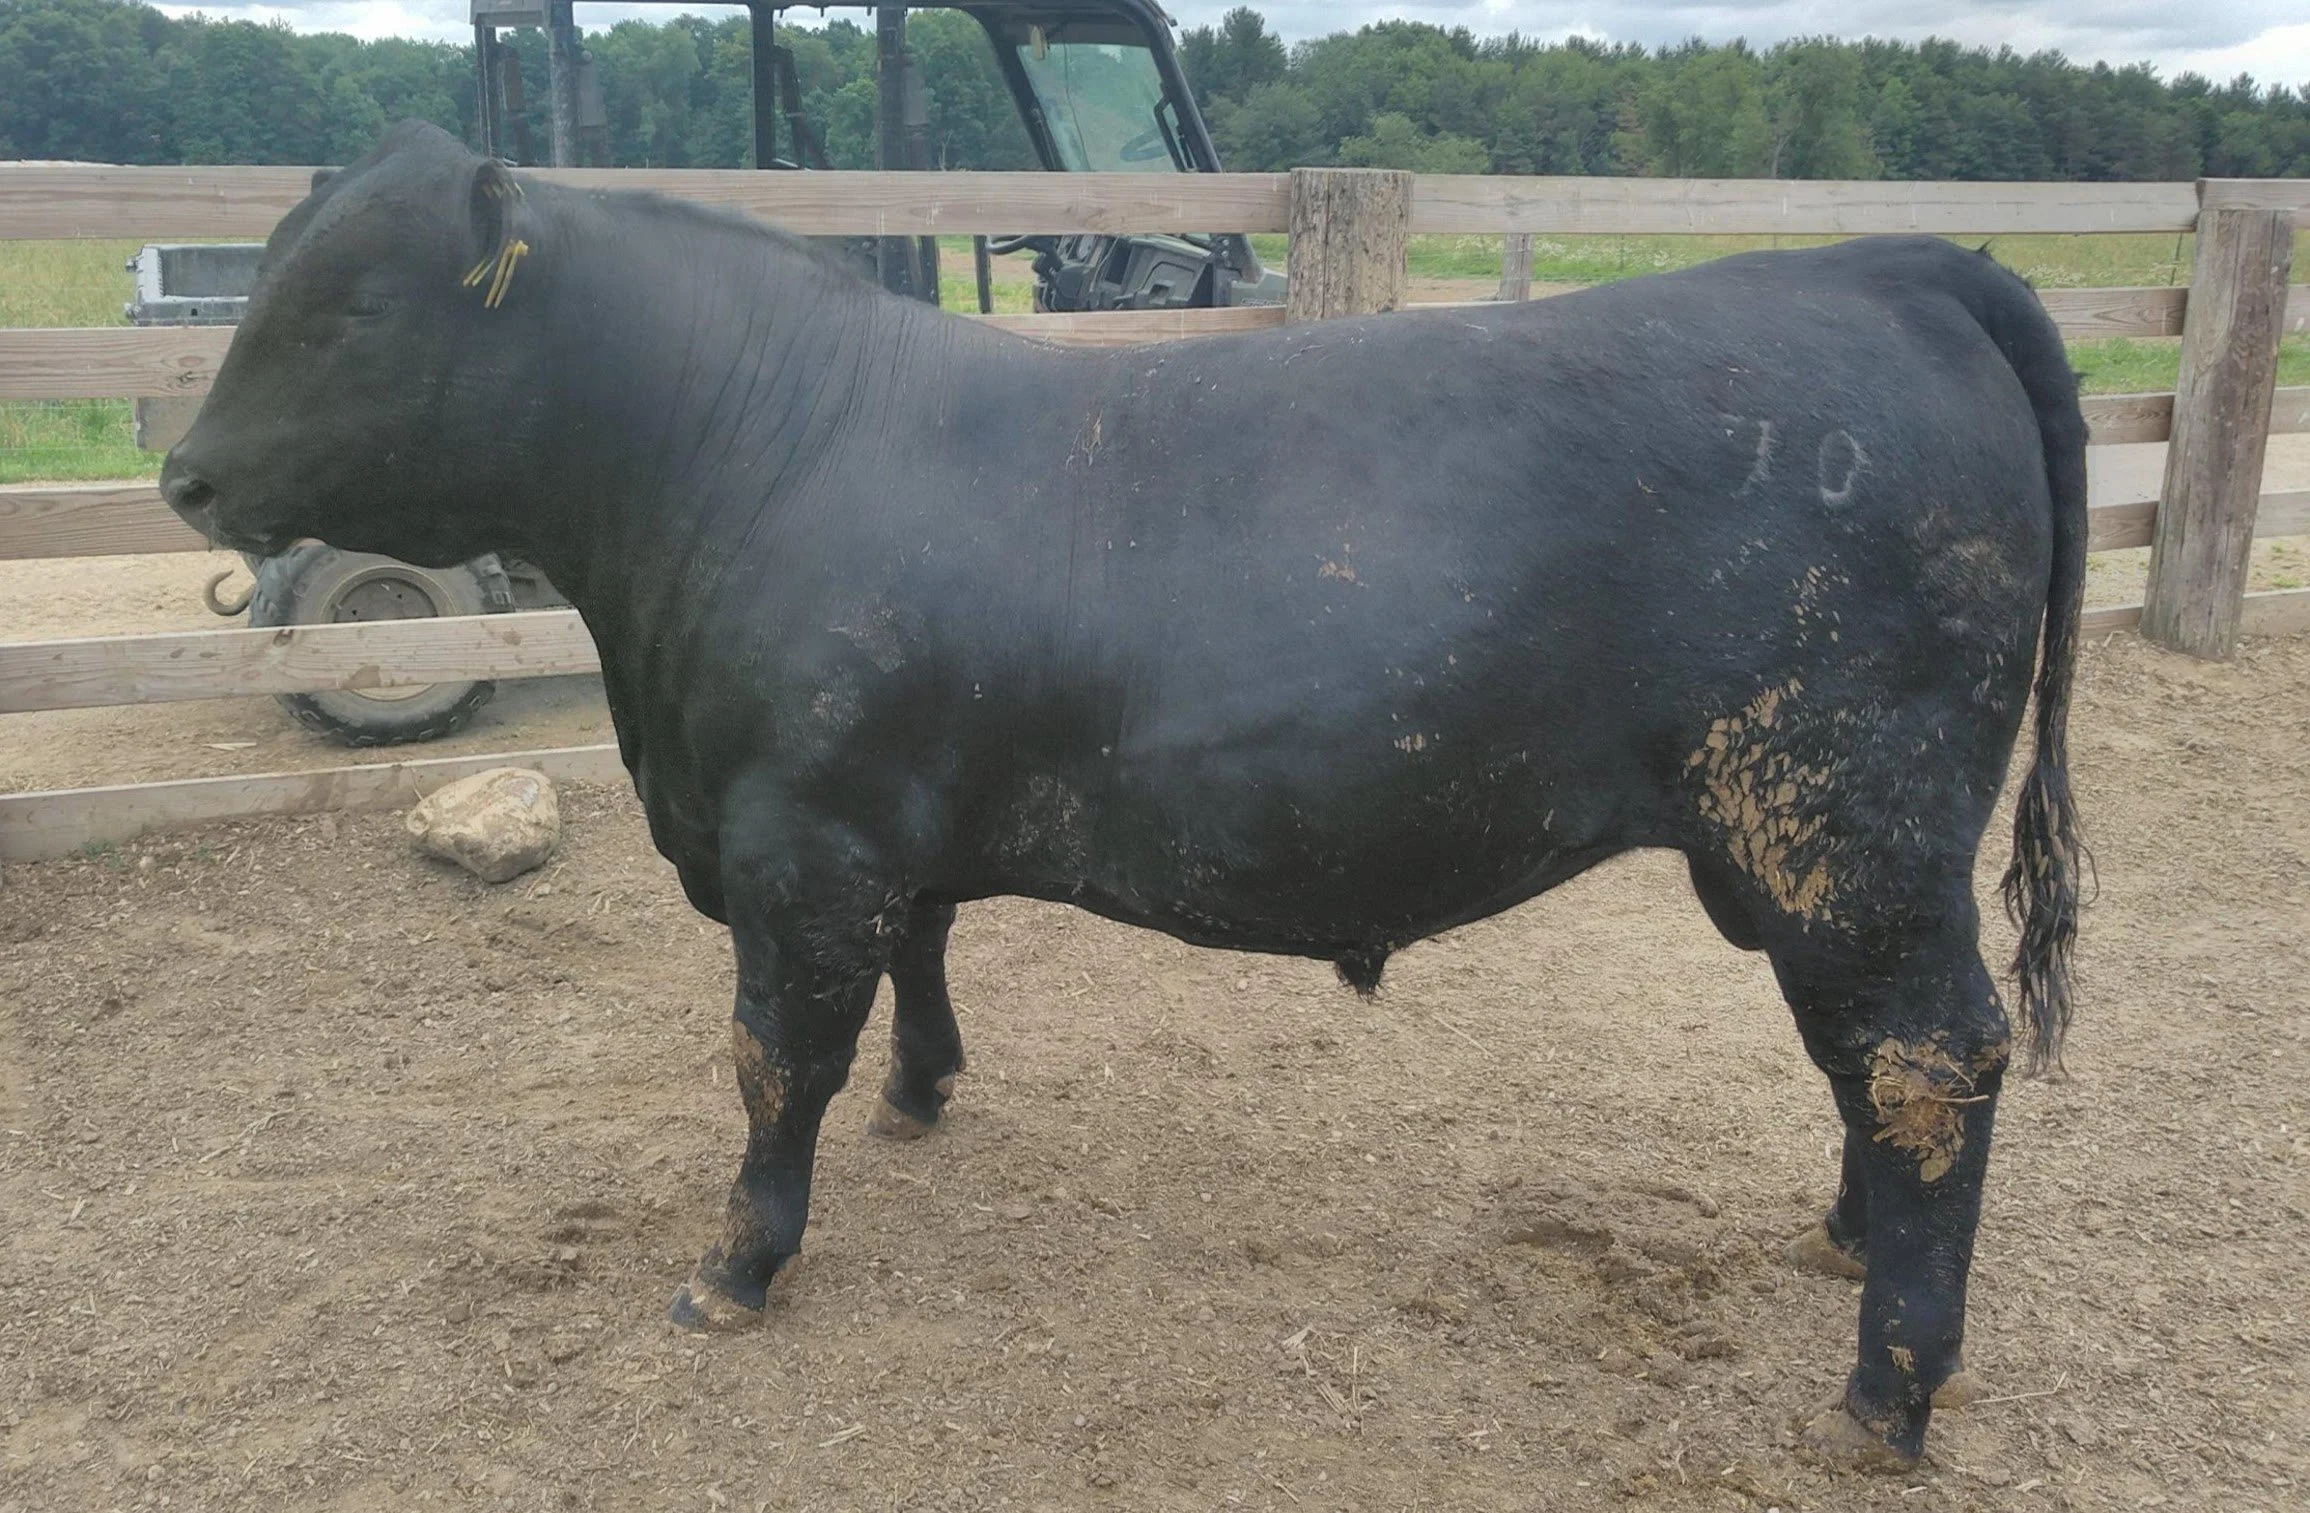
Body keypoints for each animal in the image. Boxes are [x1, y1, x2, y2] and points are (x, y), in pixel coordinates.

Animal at [162, 121, 2086, 1470]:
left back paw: (1889, 1388)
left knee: (1930, 1055)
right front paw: (924, 1096)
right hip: (1812, 852)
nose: (181, 474)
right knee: (1867, 1063)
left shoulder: (798, 837)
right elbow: (922, 957)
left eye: (348, 307)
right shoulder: (882, 831)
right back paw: (1845, 1237)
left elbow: (775, 1055)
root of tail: (1889, 269)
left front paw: (738, 1261)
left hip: (1845, 820)